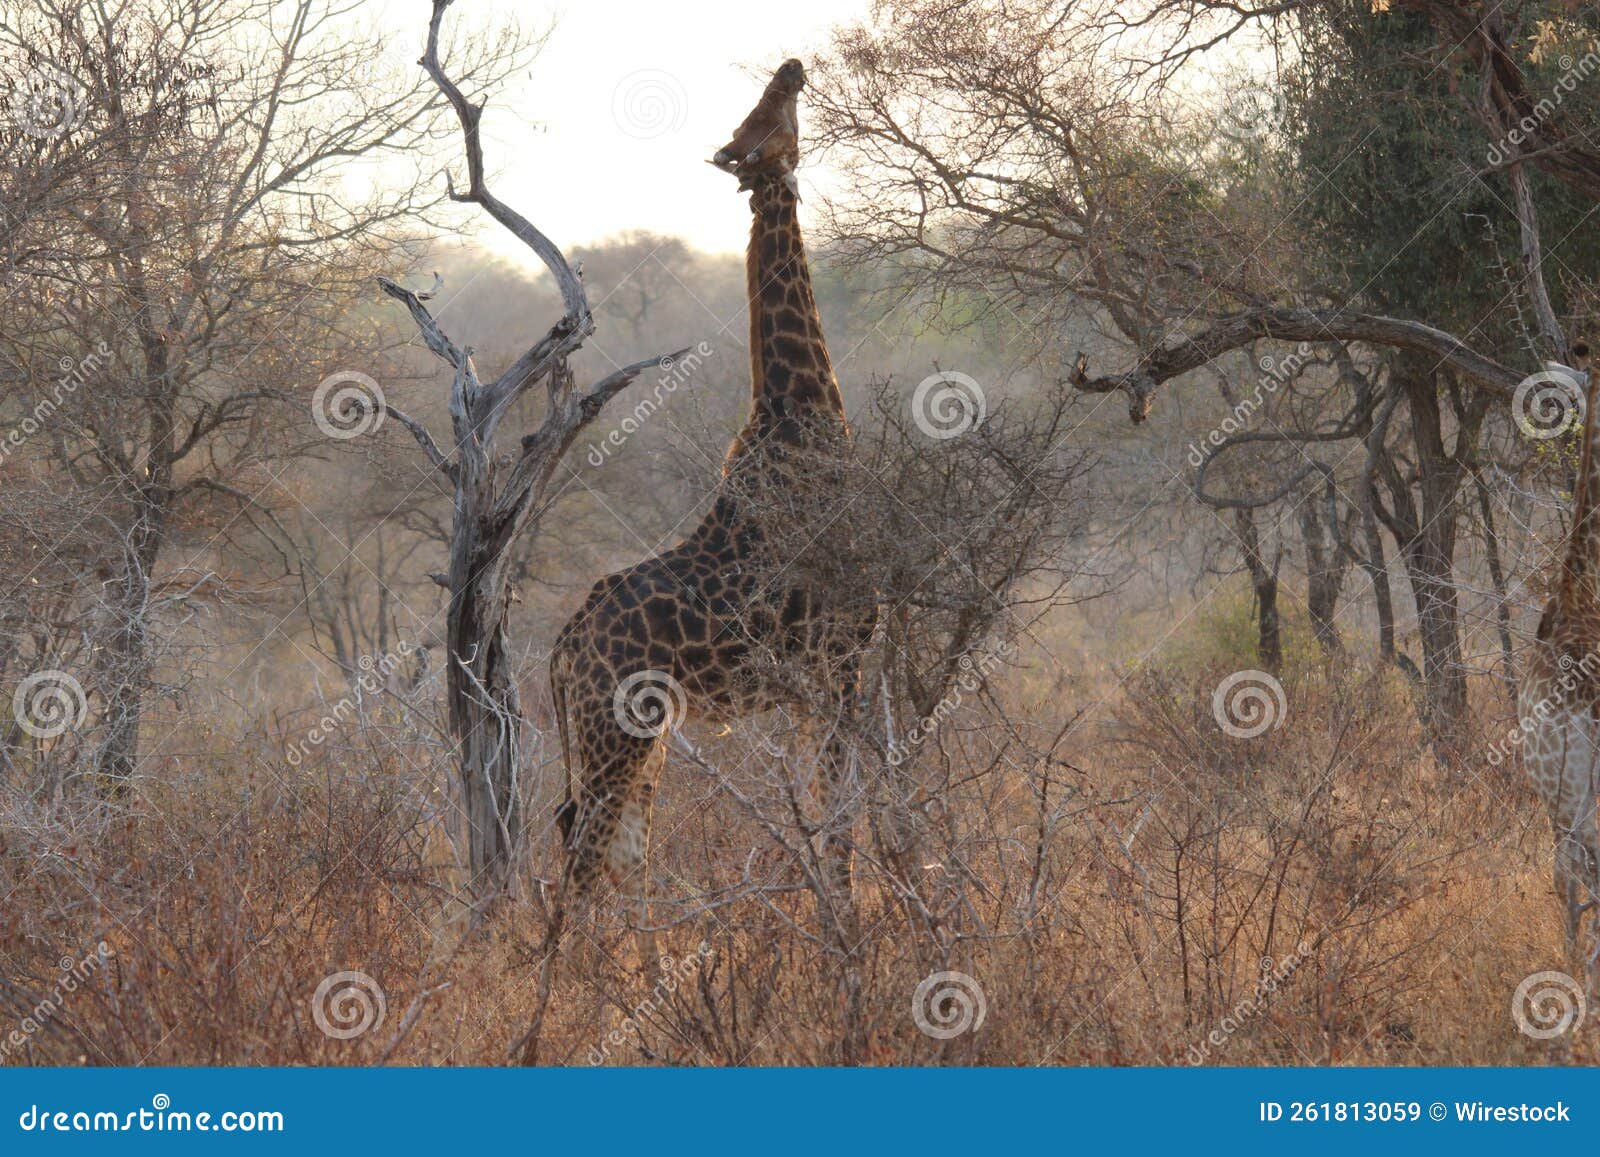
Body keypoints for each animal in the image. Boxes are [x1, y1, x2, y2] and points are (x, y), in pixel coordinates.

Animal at [549, 59, 873, 912]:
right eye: (763, 117)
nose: (792, 65)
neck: (801, 410)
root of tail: (562, 646)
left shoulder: (817, 680)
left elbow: (826, 811)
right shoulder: (842, 656)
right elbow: (843, 812)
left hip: (636, 735)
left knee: (609, 845)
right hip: (615, 728)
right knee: (582, 852)